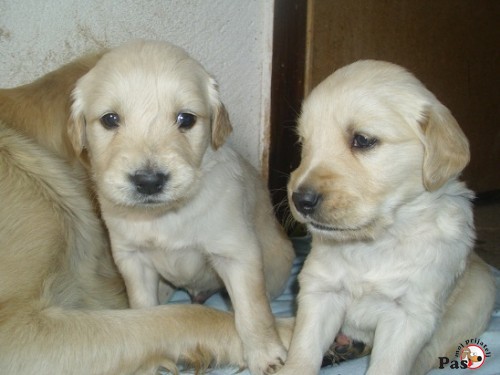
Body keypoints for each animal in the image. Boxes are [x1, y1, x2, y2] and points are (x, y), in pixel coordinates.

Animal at [68, 39, 294, 374]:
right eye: (110, 119)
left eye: (185, 119)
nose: (149, 181)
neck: (165, 213)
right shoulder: (131, 258)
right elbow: (143, 307)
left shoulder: (237, 253)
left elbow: (253, 311)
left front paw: (267, 354)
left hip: (278, 264)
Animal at [282, 60, 496, 374]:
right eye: (303, 143)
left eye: (362, 140)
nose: (301, 200)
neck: (375, 241)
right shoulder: (321, 291)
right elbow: (303, 350)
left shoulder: (409, 315)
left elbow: (389, 365)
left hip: (477, 298)